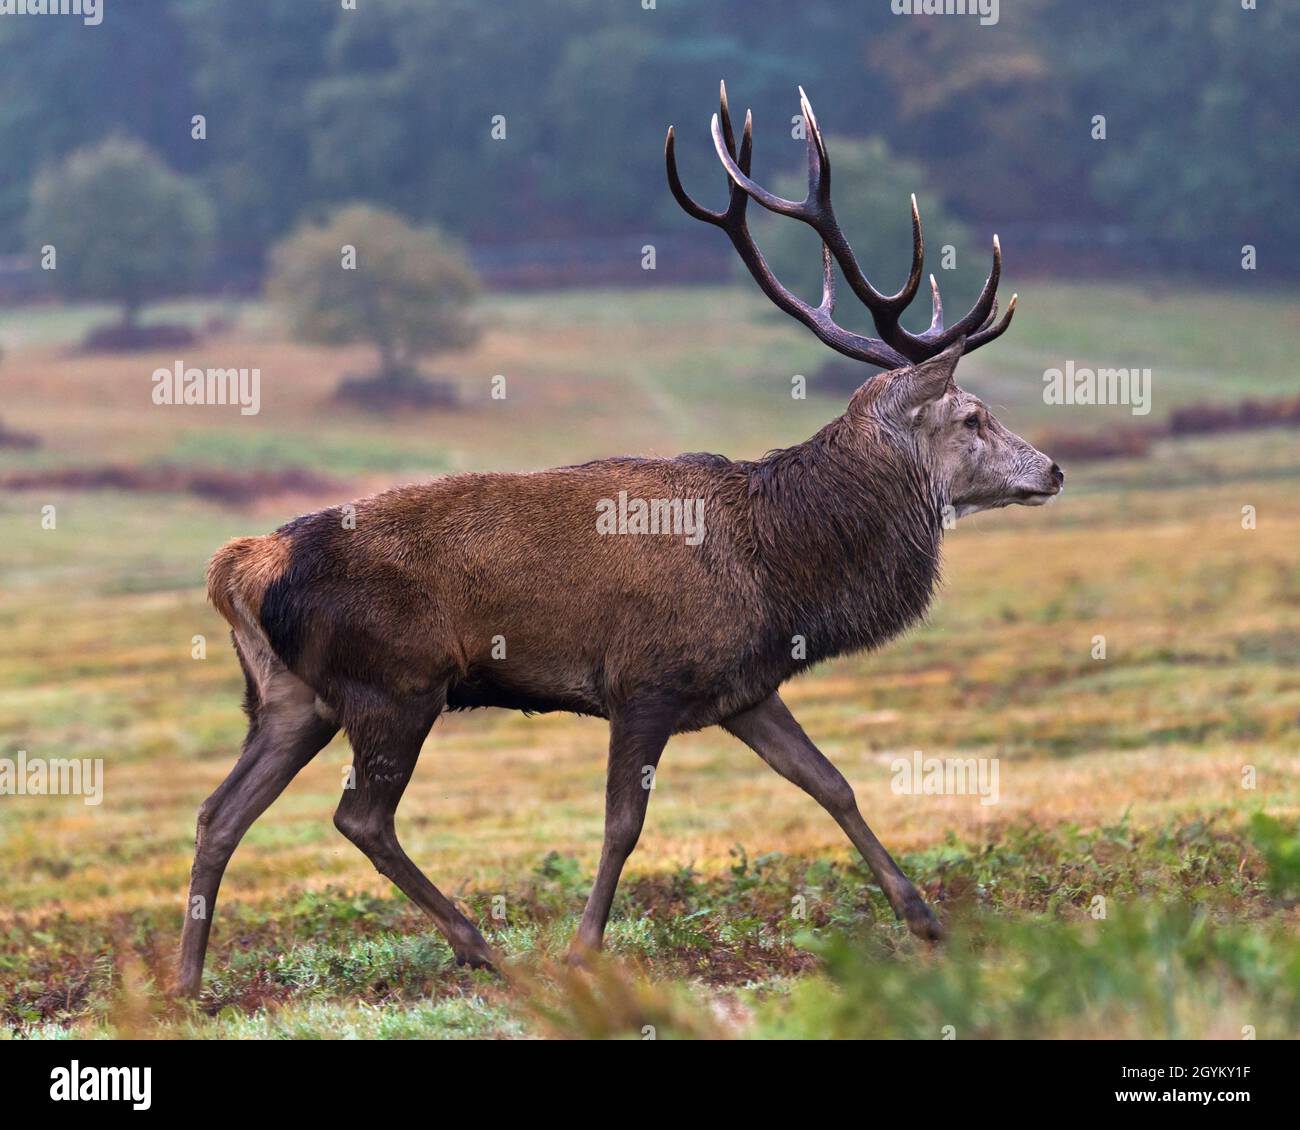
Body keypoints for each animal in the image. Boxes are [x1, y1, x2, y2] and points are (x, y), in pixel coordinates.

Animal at [178, 83, 1063, 996]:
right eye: (973, 416)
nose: (1053, 469)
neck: (778, 568)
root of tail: (243, 565)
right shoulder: (643, 680)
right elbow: (622, 825)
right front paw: (583, 950)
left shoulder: (744, 687)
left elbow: (831, 784)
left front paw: (925, 917)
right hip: (395, 682)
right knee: (359, 818)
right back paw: (483, 948)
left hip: (292, 698)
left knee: (219, 812)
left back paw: (188, 983)